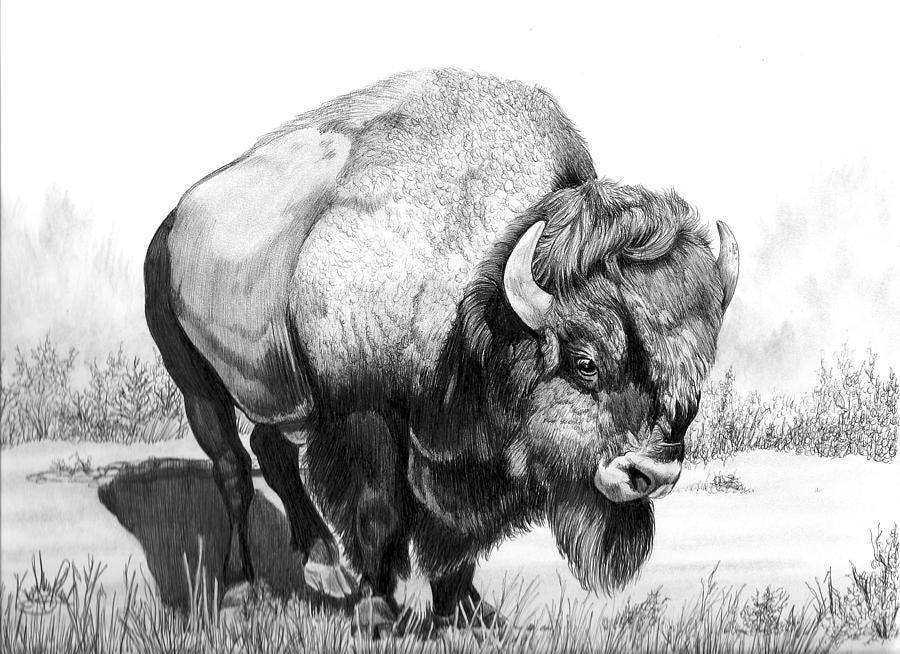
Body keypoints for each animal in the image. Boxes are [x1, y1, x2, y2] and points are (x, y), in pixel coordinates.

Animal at [144, 69, 738, 632]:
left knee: (271, 448)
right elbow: (379, 511)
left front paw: (468, 613)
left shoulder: (457, 458)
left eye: (697, 375)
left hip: (285, 394)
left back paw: (324, 568)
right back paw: (239, 593)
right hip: (197, 387)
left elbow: (455, 537)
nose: (651, 474)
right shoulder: (367, 408)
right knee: (233, 470)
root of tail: (173, 223)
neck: (480, 288)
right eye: (585, 362)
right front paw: (377, 611)